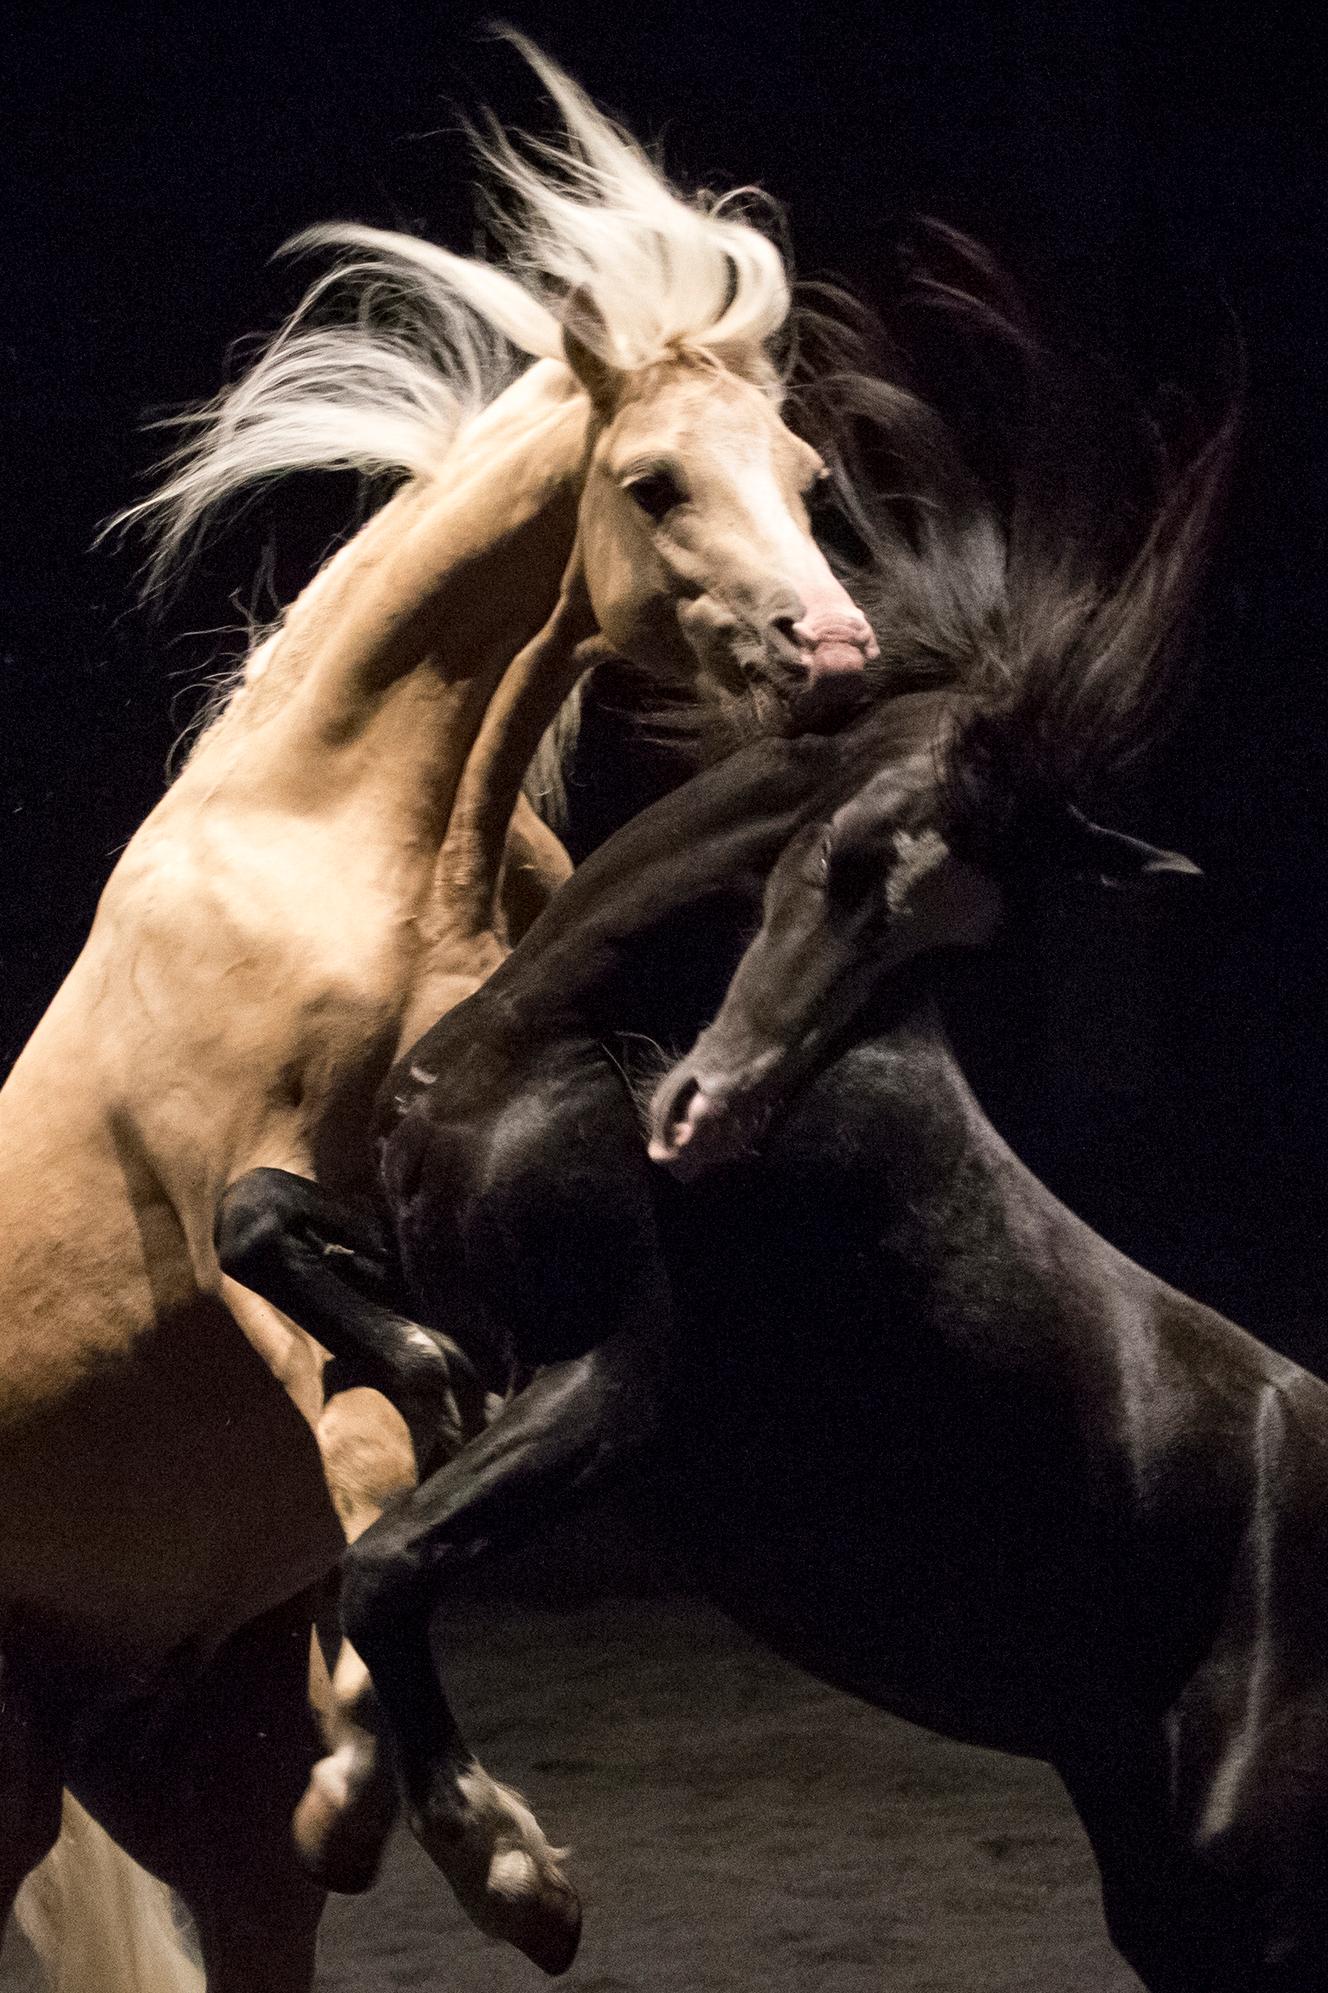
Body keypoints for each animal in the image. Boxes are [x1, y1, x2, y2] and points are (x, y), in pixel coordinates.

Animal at [0, 38, 878, 1989]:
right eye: (653, 481)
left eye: (796, 465)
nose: (838, 653)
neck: (363, 859)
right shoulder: (229, 1238)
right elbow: (367, 1410)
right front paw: (482, 1848)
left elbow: (411, 1446)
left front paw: (389, 1791)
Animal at [218, 264, 1248, 1982]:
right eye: (847, 859)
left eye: (952, 955)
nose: (708, 1119)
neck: (543, 1028)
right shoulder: (427, 1239)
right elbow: (264, 1226)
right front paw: (422, 1377)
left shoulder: (622, 1379)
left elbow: (390, 1559)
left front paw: (502, 1870)